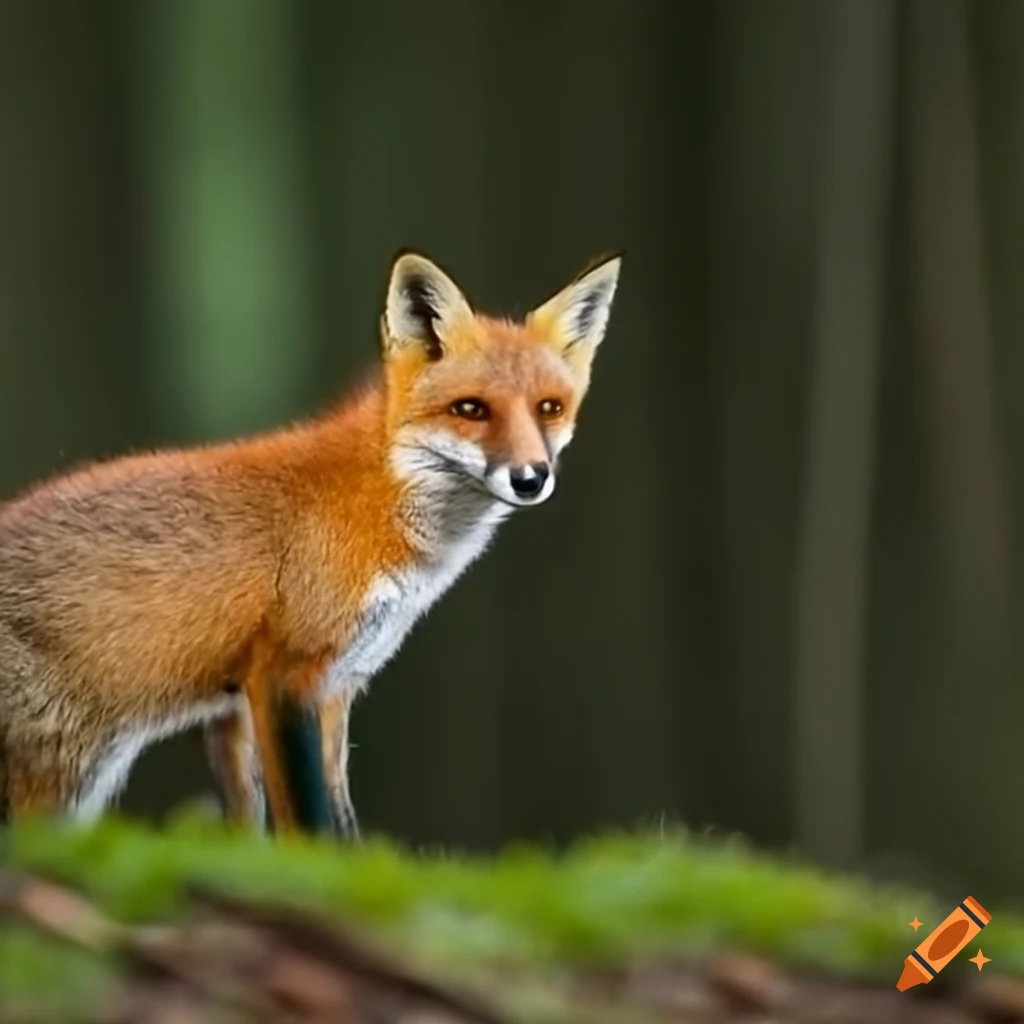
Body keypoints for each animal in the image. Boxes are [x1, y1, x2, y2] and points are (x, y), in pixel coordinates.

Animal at [0, 249, 623, 836]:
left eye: (550, 408)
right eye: (471, 409)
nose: (531, 477)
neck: (380, 501)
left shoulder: (333, 690)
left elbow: (340, 833)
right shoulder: (282, 677)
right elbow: (308, 826)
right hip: (60, 783)